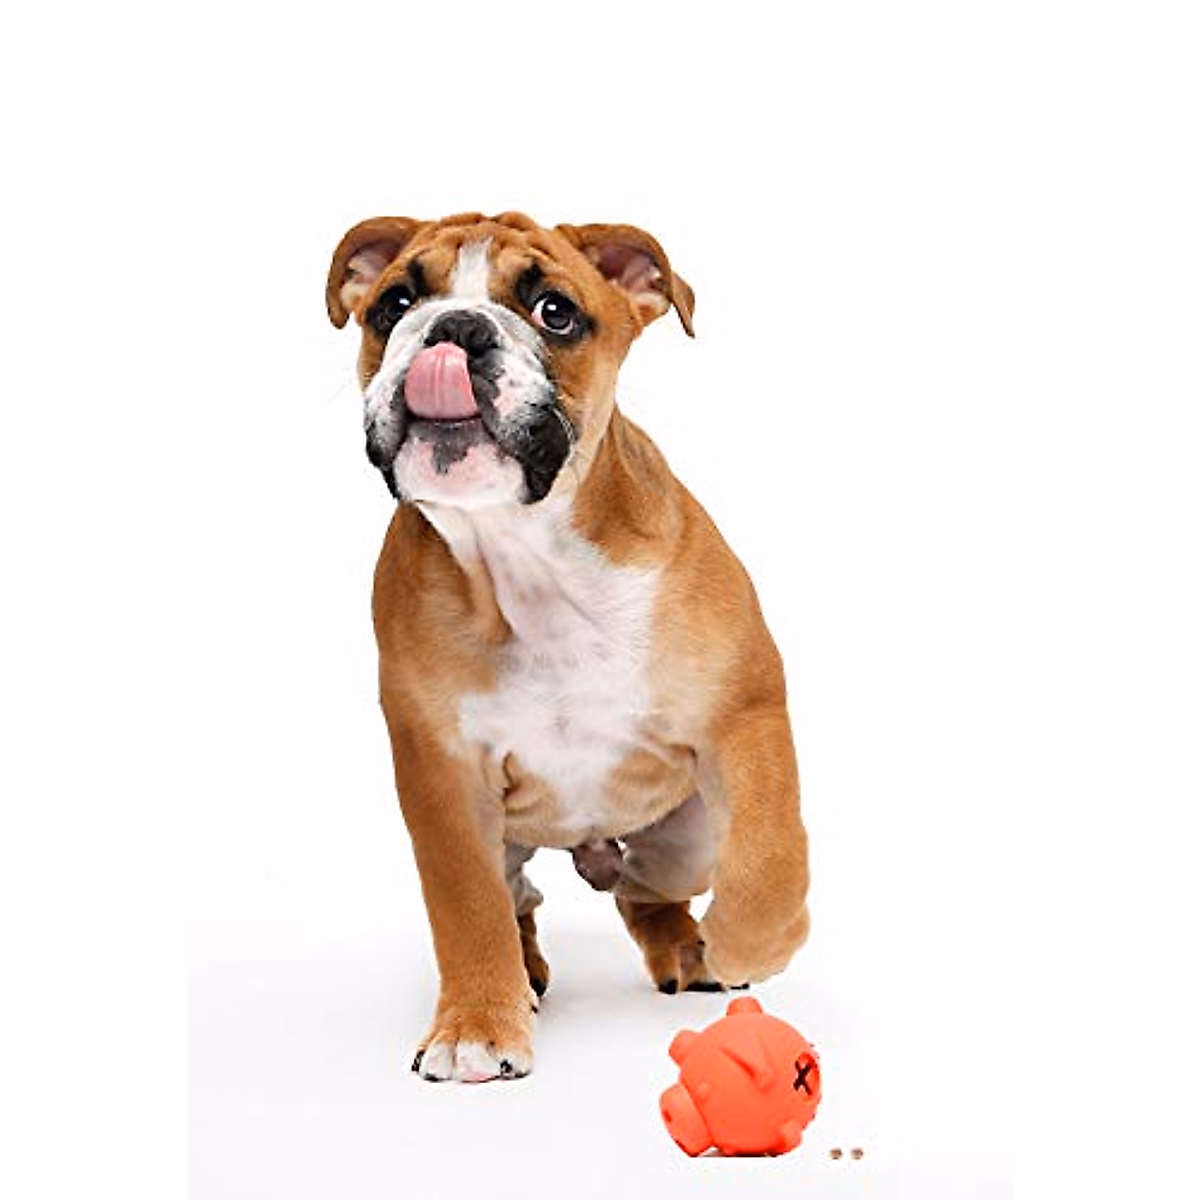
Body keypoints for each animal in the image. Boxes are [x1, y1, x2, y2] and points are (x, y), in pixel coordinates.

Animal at [325, 212, 810, 1083]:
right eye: (394, 305)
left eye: (555, 312)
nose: (455, 328)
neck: (525, 554)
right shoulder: (443, 782)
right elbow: (467, 909)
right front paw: (478, 1023)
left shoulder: (745, 712)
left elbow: (770, 861)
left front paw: (749, 945)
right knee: (519, 900)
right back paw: (526, 973)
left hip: (686, 837)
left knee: (645, 889)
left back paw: (690, 950)